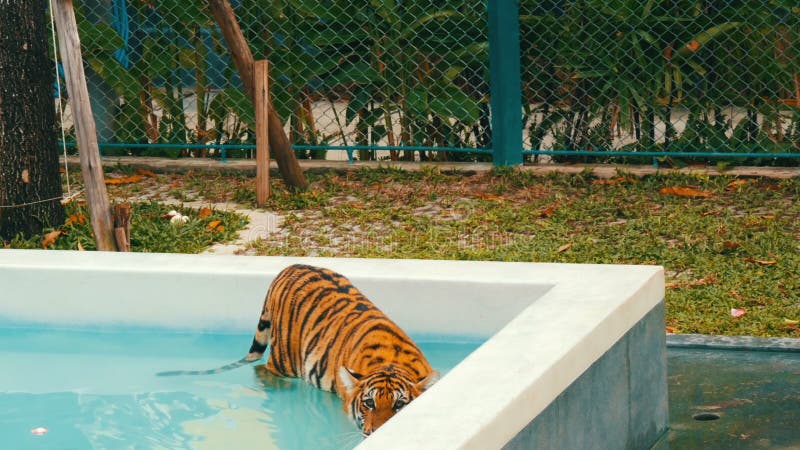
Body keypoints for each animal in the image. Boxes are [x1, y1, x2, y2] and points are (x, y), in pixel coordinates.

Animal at [158, 264, 439, 436]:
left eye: (399, 405)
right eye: (369, 403)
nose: (374, 433)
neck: (392, 362)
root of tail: (288, 268)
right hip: (284, 359)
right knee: (262, 370)